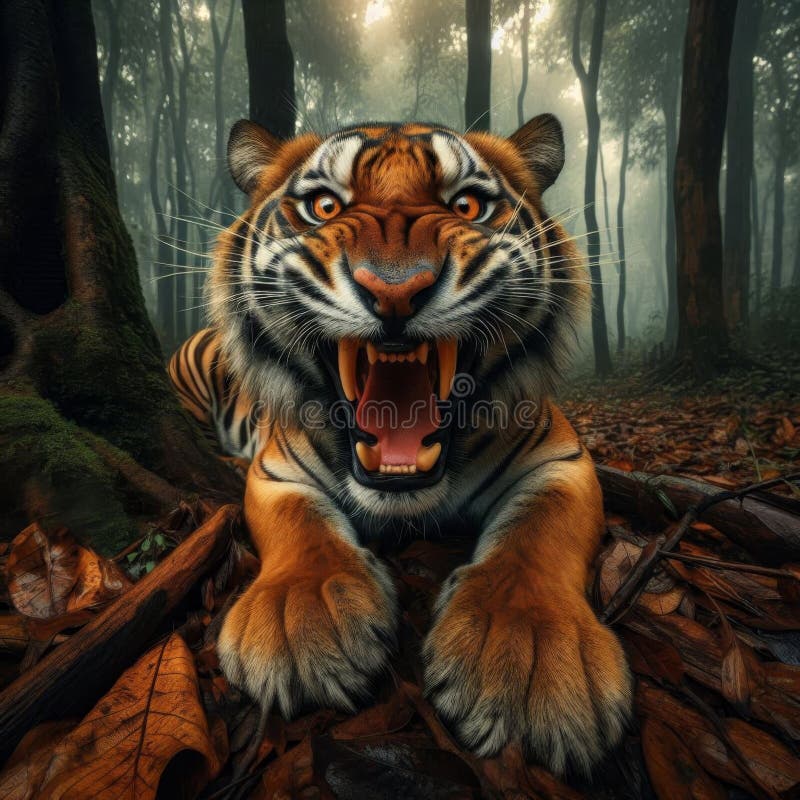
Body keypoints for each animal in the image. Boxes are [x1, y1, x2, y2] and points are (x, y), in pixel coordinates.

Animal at [168, 114, 632, 775]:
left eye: (466, 205)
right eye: (324, 206)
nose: (394, 290)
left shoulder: (561, 462)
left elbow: (538, 537)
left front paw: (527, 657)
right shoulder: (277, 471)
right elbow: (302, 530)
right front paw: (303, 623)